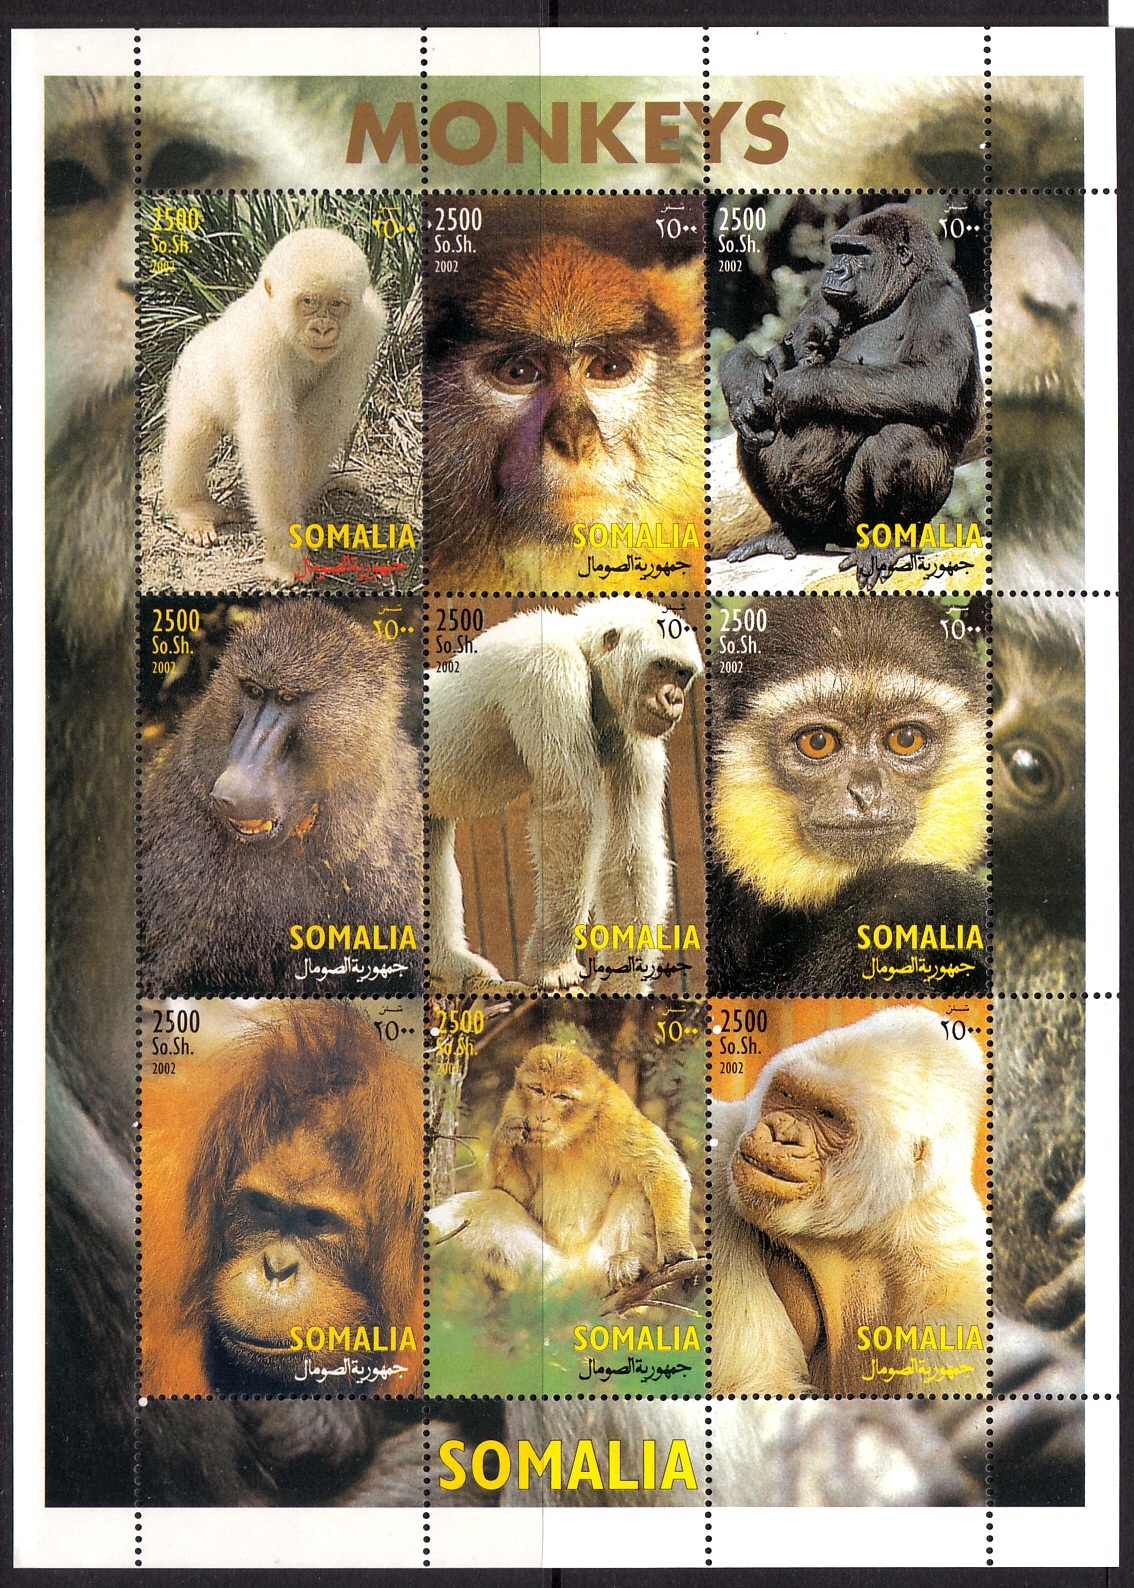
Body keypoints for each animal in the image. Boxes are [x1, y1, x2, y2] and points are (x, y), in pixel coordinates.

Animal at [161, 228, 386, 580]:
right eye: (308, 302)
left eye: (337, 305)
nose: (323, 328)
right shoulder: (260, 340)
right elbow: (270, 434)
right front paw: (286, 550)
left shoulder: (364, 330)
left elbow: (324, 419)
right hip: (189, 378)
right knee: (192, 434)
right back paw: (193, 508)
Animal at [427, 597, 702, 994]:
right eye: (661, 666)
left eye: (682, 674)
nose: (673, 699)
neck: (584, 650)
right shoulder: (549, 671)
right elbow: (571, 813)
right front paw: (552, 963)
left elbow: (632, 850)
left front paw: (623, 986)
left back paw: (445, 960)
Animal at [431, 1046, 697, 1298]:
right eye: (538, 1090)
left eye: (561, 1097)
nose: (541, 1116)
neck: (570, 1135)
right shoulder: (513, 1107)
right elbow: (517, 1192)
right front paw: (504, 1139)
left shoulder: (616, 1115)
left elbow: (660, 1167)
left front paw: (677, 1253)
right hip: (551, 1267)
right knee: (492, 1202)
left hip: (600, 1258)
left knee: (636, 1183)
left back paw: (632, 1266)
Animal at [717, 1008, 989, 1396]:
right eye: (786, 1094)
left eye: (828, 1116)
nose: (780, 1134)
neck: (866, 1229)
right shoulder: (722, 1144)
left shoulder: (961, 1290)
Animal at [718, 205, 981, 588]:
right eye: (839, 249)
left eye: (859, 253)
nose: (834, 270)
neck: (900, 291)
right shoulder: (821, 300)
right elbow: (775, 357)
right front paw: (743, 379)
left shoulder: (940, 298)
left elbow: (934, 380)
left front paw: (800, 386)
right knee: (753, 435)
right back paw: (789, 532)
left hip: (855, 527)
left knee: (902, 439)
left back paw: (891, 540)